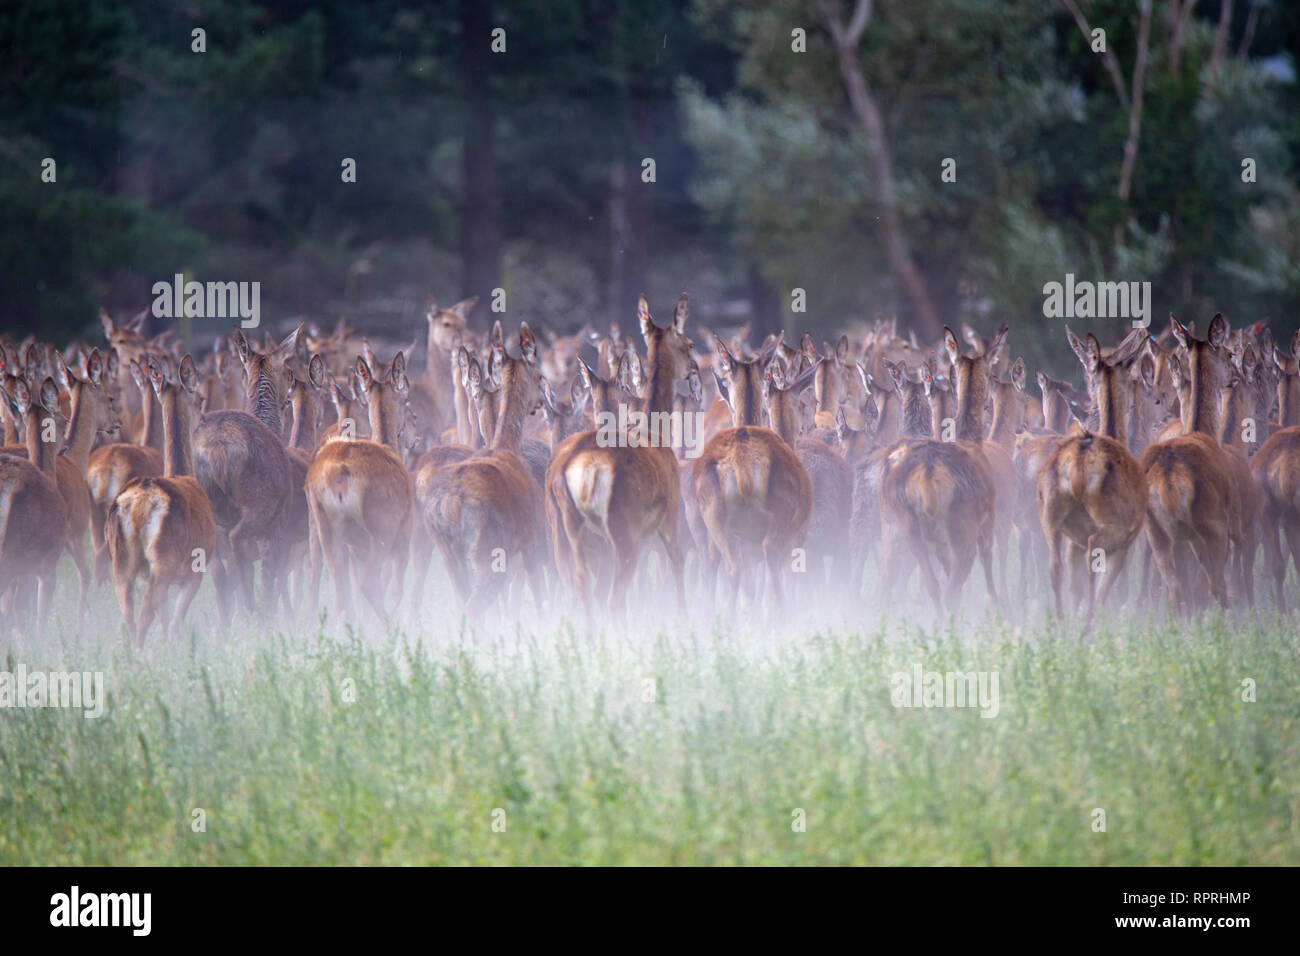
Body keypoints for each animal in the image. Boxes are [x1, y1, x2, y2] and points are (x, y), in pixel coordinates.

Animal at [105, 354, 216, 645]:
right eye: (200, 398)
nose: (204, 418)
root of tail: (136, 510)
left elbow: (166, 620)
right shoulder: (194, 571)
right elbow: (175, 621)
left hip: (120, 560)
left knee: (128, 614)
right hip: (162, 559)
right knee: (145, 611)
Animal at [307, 351, 413, 621]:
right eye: (406, 396)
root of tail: (337, 473)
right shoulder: (404, 531)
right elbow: (395, 590)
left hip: (325, 527)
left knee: (338, 594)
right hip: (381, 527)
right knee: (370, 585)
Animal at [547, 296, 692, 618]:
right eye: (688, 344)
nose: (693, 367)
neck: (655, 430)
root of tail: (569, 470)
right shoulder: (671, 512)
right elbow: (677, 566)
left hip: (563, 528)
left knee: (576, 585)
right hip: (623, 525)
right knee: (613, 596)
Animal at [1035, 333, 1148, 628]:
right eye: (1131, 378)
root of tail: (1077, 468)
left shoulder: (1073, 539)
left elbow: (1074, 588)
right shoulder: (1127, 539)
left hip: (1050, 514)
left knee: (1055, 569)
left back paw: (1061, 627)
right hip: (1112, 523)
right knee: (1092, 560)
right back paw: (1087, 627)